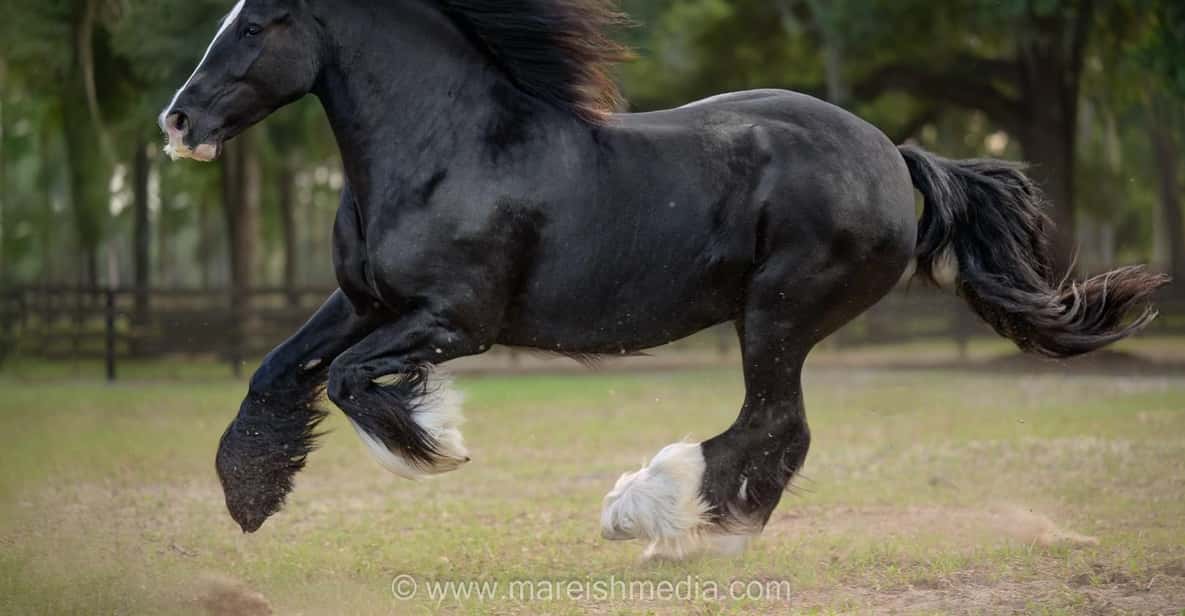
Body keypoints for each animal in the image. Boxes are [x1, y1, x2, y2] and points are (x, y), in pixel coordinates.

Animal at [159, 0, 1168, 560]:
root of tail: (894, 154)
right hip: (774, 319)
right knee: (775, 429)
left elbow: (346, 378)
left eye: (258, 22)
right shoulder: (363, 302)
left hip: (777, 314)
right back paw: (696, 523)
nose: (177, 120)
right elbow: (280, 369)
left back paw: (656, 517)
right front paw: (251, 495)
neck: (452, 149)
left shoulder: (455, 320)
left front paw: (431, 440)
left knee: (776, 424)